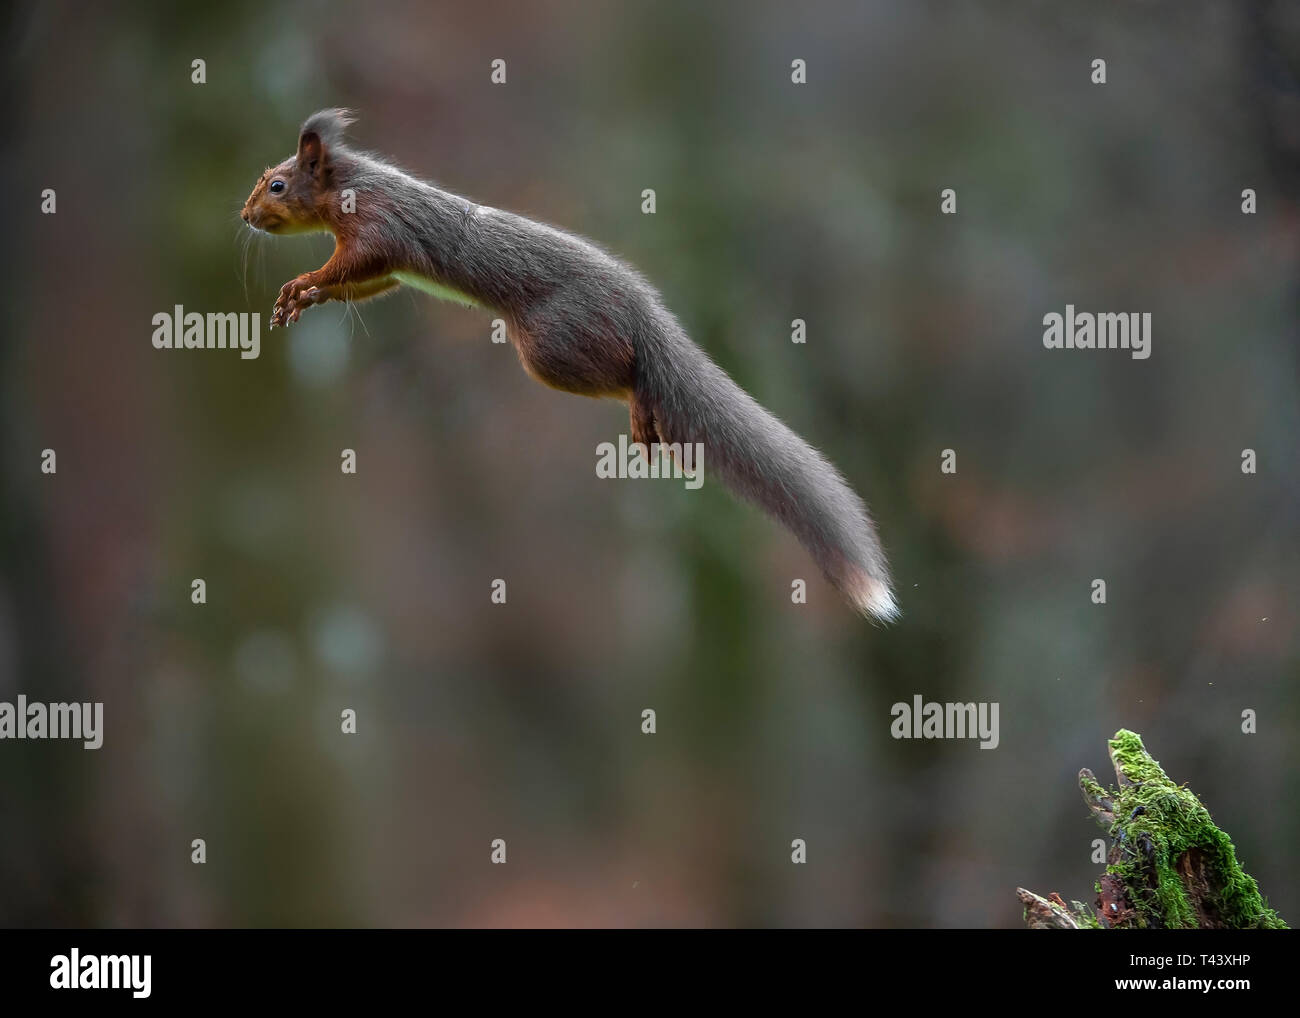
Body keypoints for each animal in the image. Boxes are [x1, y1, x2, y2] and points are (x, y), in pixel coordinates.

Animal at [241, 110, 897, 621]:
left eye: (277, 185)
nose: (244, 216)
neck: (353, 185)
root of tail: (642, 310)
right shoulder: (387, 265)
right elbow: (362, 283)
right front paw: (302, 296)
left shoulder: (379, 229)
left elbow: (354, 263)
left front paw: (302, 281)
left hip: (554, 349)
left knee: (629, 376)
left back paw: (641, 408)